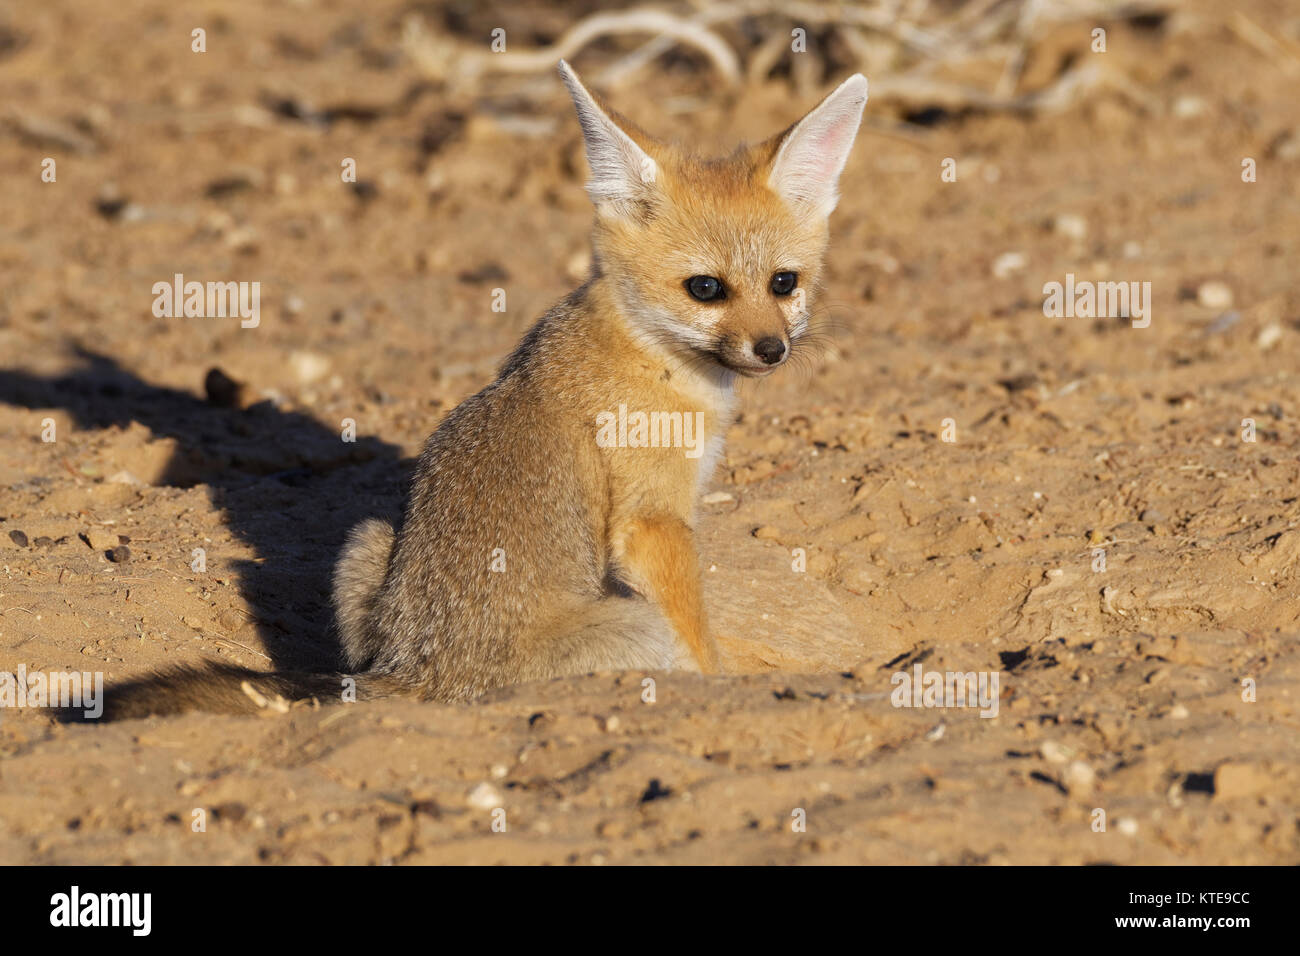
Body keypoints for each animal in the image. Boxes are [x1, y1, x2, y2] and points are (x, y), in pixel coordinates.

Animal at [95, 62, 868, 720]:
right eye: (706, 289)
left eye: (784, 284)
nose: (772, 349)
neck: (650, 353)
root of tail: (418, 675)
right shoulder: (653, 525)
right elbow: (700, 639)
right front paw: (725, 684)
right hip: (633, 623)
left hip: (371, 539)